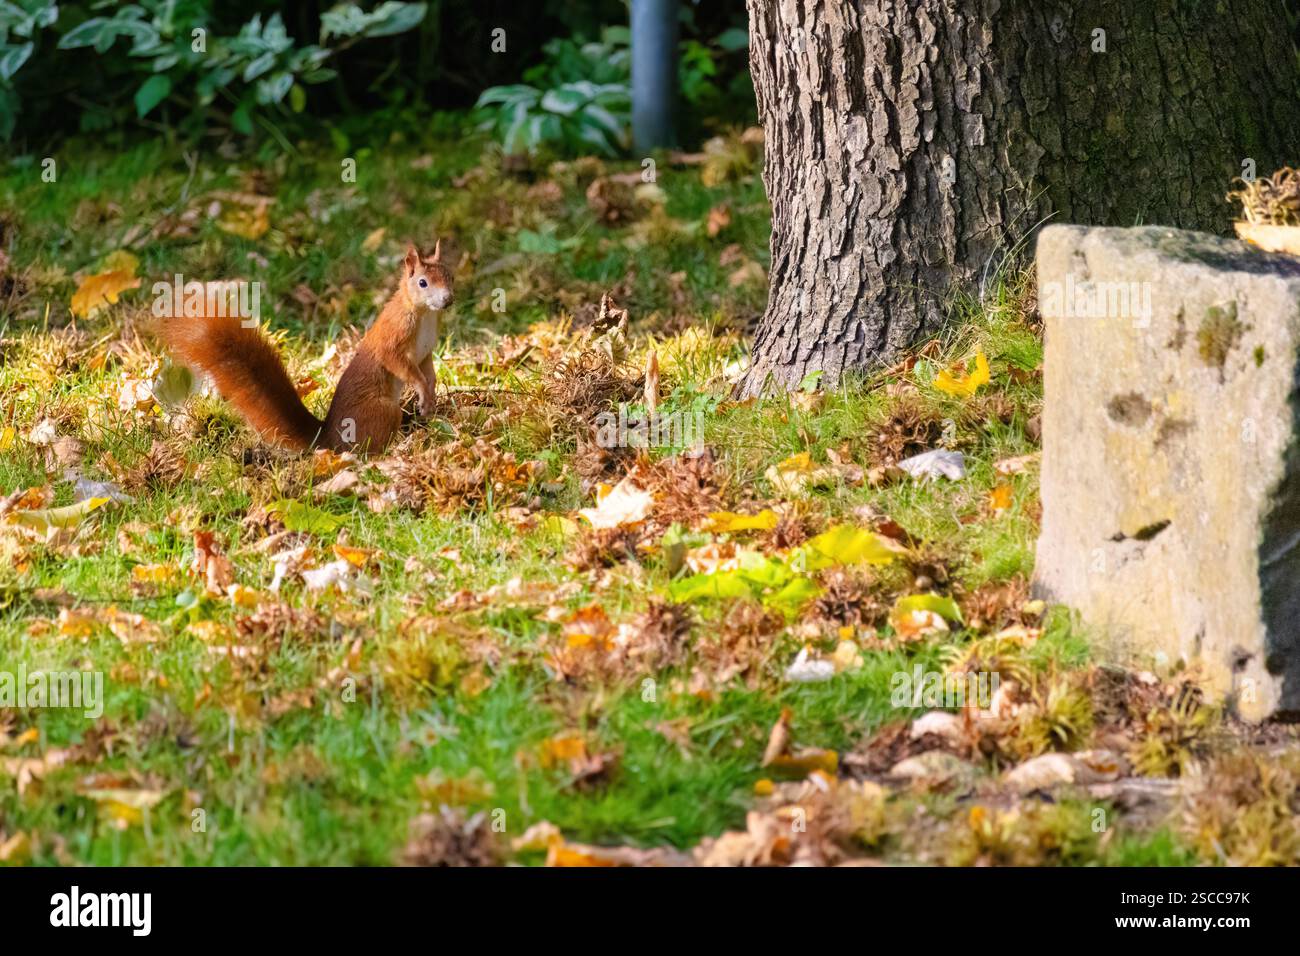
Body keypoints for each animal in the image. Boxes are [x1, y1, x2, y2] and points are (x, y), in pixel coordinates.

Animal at [159, 241, 453, 455]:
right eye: (423, 283)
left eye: (450, 275)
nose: (448, 299)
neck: (425, 314)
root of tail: (328, 440)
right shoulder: (393, 338)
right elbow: (398, 363)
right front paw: (422, 391)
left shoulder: (425, 351)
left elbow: (427, 371)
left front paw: (430, 394)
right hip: (382, 410)